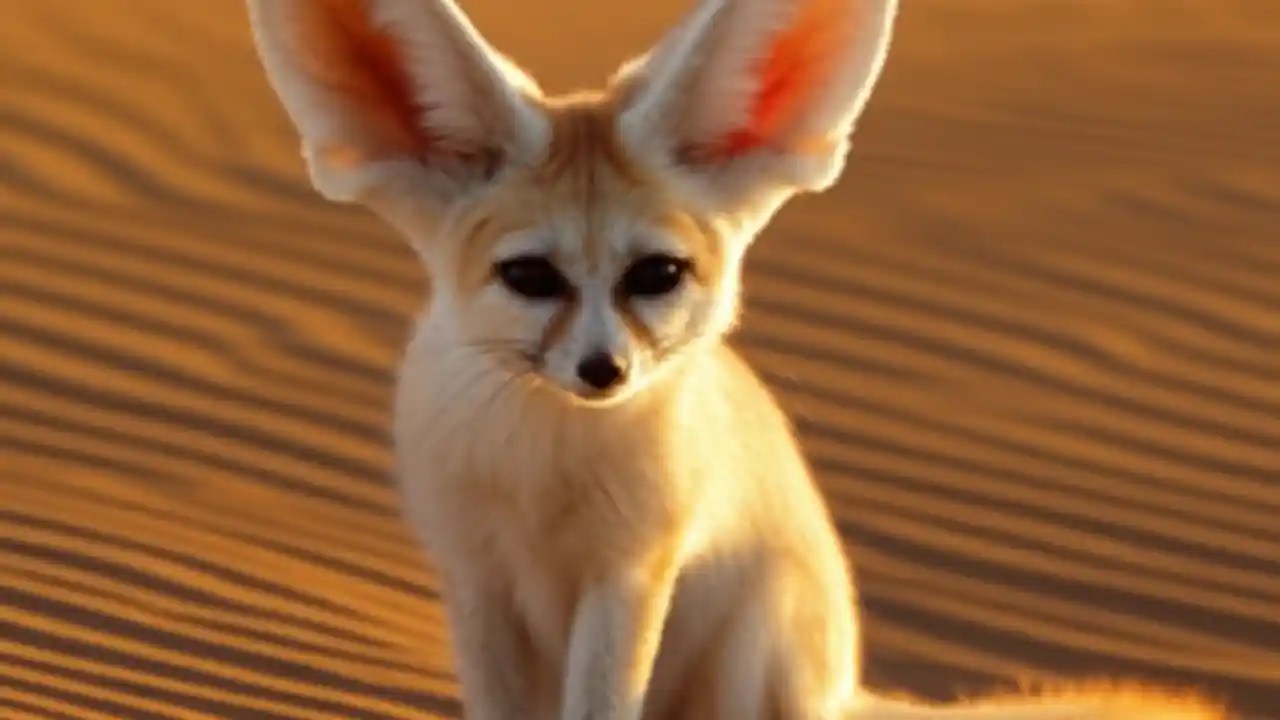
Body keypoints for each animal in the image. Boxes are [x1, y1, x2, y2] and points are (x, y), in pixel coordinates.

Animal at [245, 1, 1231, 719]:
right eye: (529, 277)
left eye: (656, 275)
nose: (602, 371)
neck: (544, 470)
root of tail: (845, 693)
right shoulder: (474, 573)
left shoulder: (633, 570)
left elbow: (599, 707)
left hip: (747, 651)